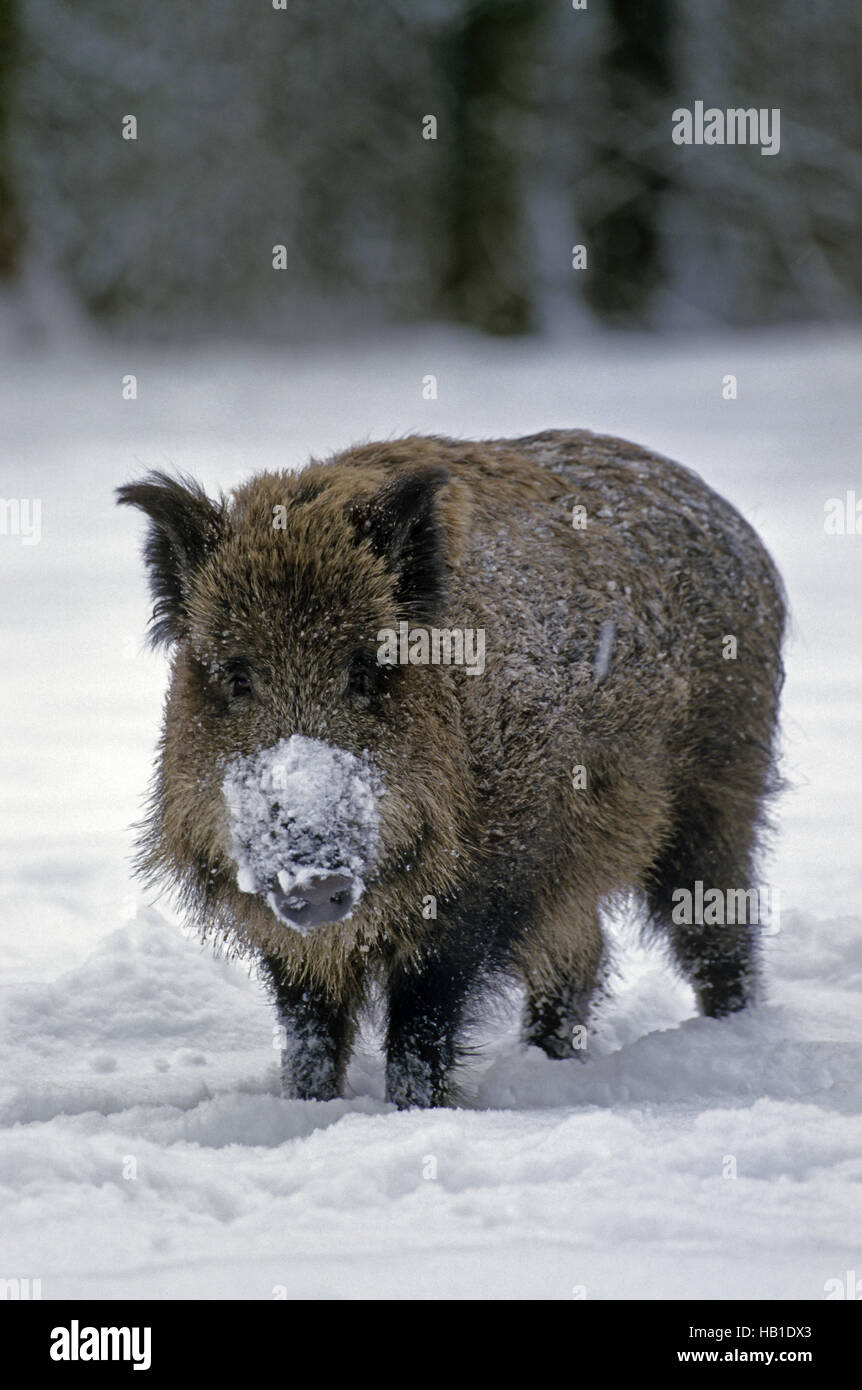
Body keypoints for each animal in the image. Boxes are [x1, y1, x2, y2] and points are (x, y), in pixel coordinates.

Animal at [117, 428, 785, 1108]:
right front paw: (309, 1107)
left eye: (365, 671)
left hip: (722, 788)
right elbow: (311, 1030)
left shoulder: (477, 894)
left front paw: (415, 1112)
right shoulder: (287, 937)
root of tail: (731, 522)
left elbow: (421, 1029)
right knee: (585, 951)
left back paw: (728, 1034)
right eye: (237, 677)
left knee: (716, 929)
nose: (314, 880)